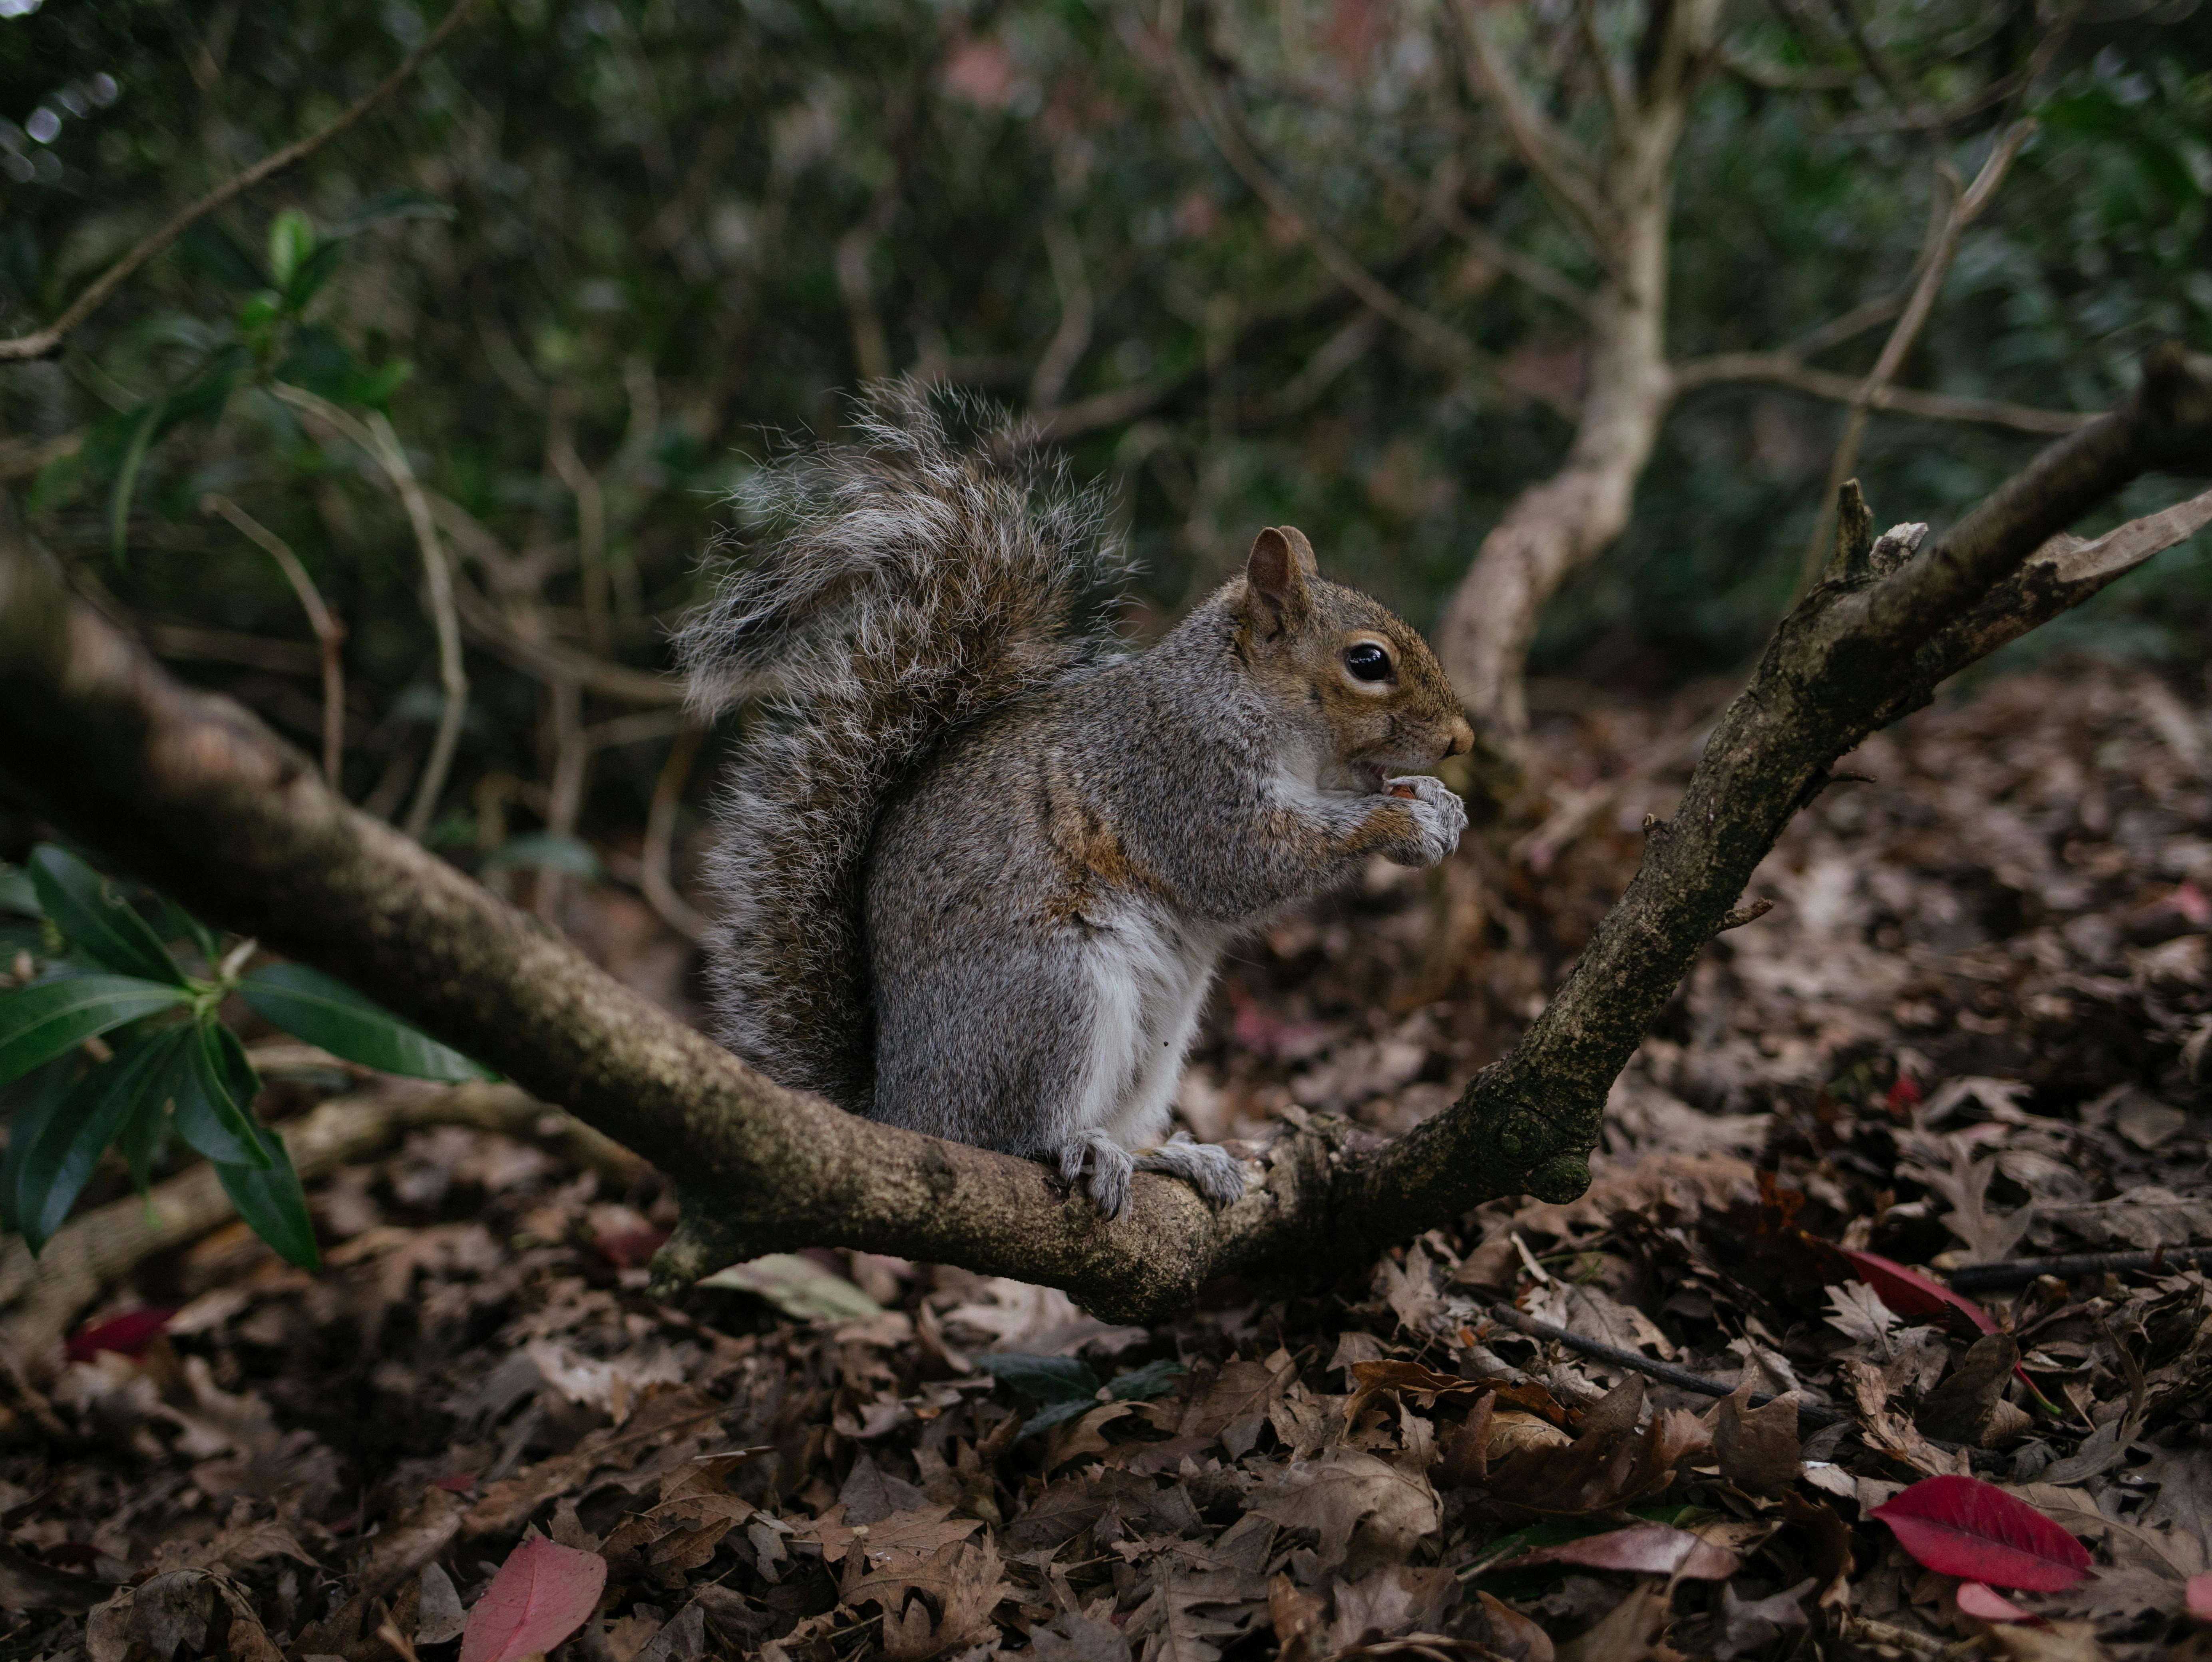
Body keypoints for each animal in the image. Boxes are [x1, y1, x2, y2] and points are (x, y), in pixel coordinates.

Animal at [676, 386, 1473, 1218]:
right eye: (1368, 662)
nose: (1463, 738)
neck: (1246, 702)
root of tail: (899, 1110)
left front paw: (1439, 804)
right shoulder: (1176, 776)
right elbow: (1249, 865)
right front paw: (1402, 823)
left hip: (1158, 1039)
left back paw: (1169, 1155)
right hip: (1055, 999)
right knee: (1008, 1137)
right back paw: (1079, 1147)